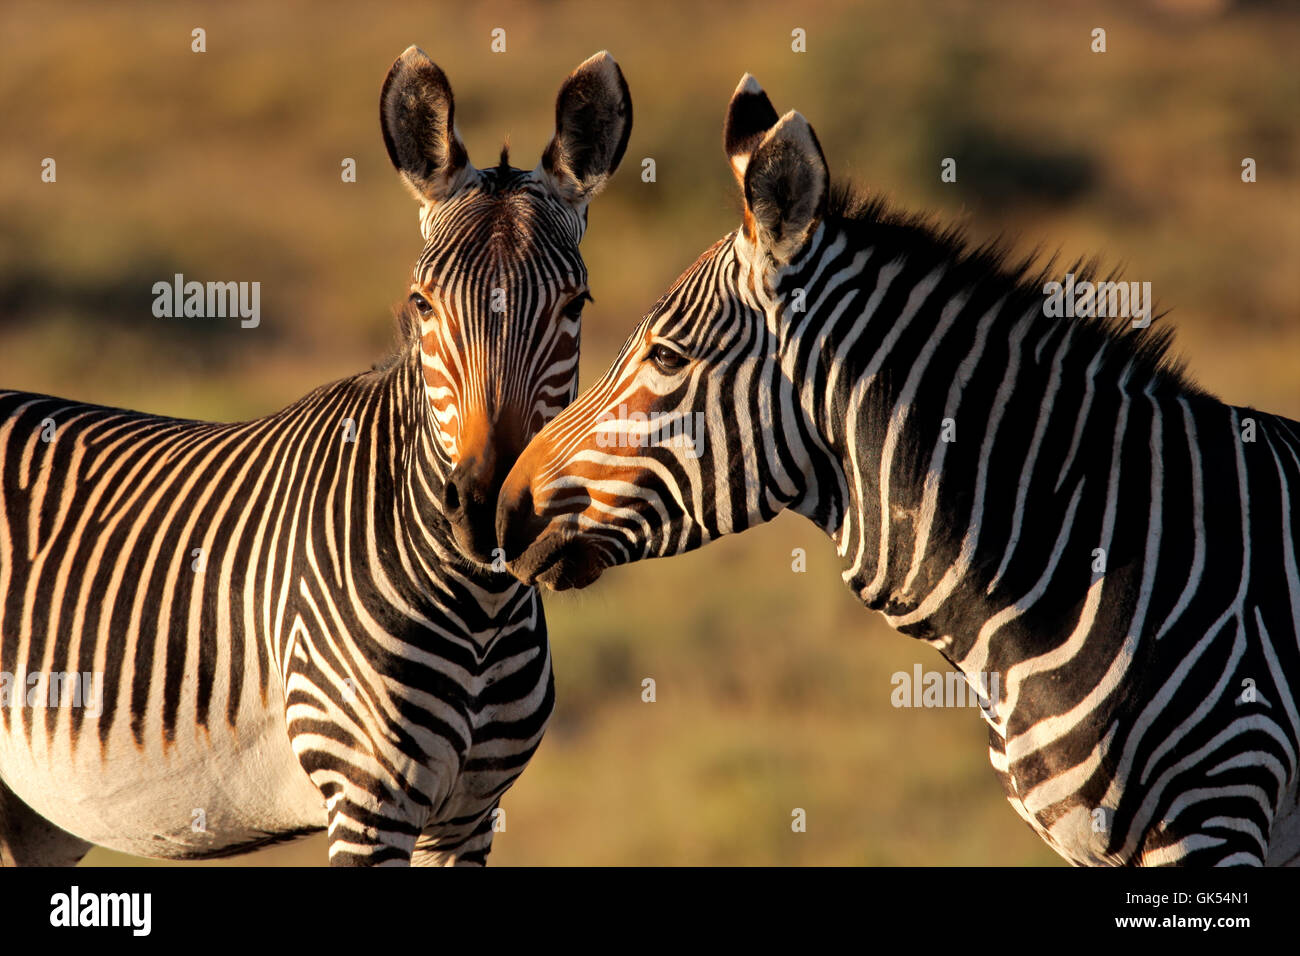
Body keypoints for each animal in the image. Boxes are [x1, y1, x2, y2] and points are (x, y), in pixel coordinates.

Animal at [0, 46, 631, 866]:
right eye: (422, 303)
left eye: (576, 305)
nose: (487, 511)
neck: (481, 610)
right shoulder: (368, 802)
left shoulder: (469, 816)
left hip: (33, 815)